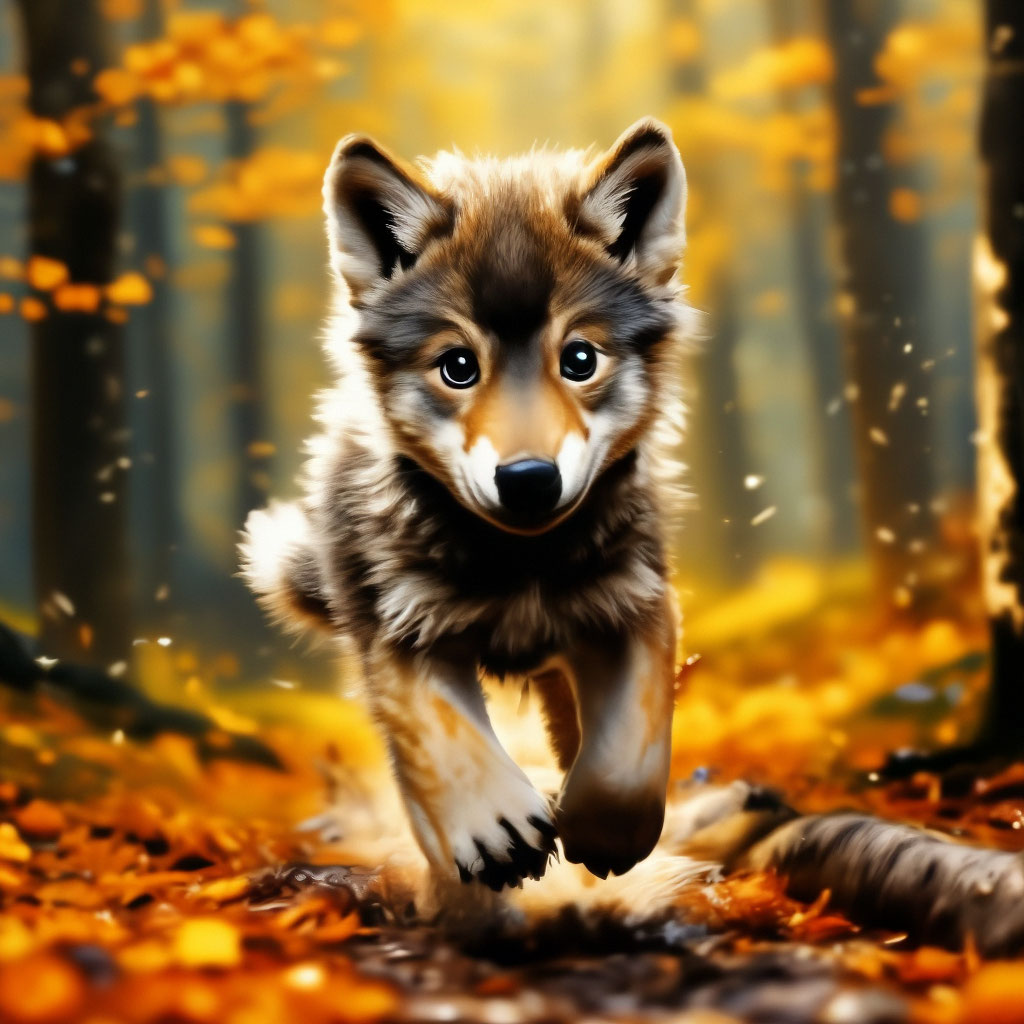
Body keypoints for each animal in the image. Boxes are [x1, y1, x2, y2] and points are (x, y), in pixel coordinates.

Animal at [242, 117, 692, 892]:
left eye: (580, 360)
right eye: (457, 367)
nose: (529, 478)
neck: (520, 562)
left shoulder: (636, 601)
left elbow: (626, 754)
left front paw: (603, 830)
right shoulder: (399, 630)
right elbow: (442, 737)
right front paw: (497, 829)